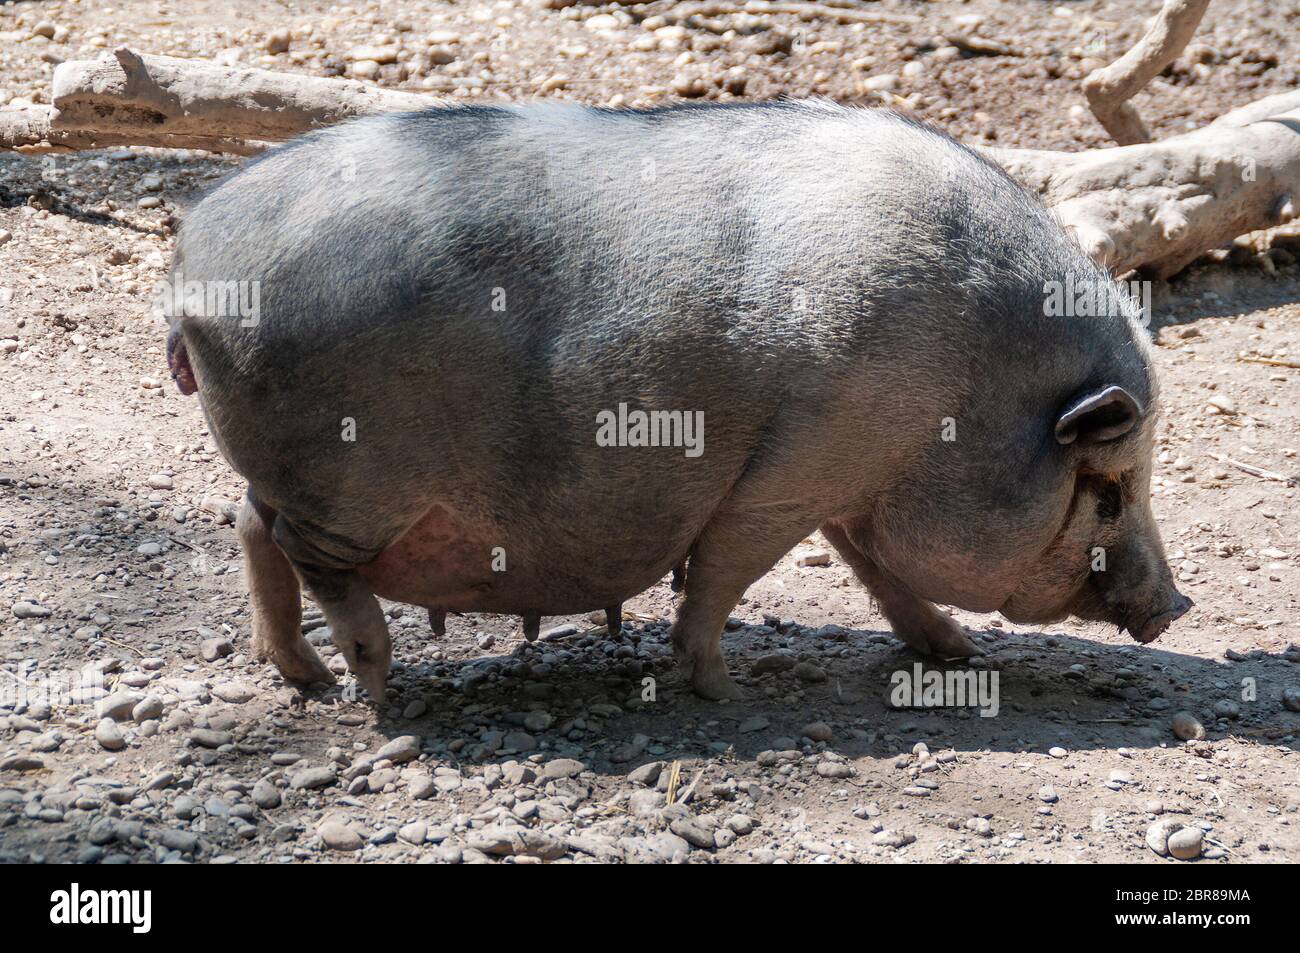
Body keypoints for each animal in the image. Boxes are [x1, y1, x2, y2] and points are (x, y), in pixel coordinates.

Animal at [166, 101, 1190, 701]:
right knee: (304, 551)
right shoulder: (792, 475)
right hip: (350, 486)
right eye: (1107, 488)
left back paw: (300, 676)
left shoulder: (843, 476)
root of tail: (193, 261)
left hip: (299, 476)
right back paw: (371, 685)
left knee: (248, 522)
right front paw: (722, 693)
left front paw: (962, 657)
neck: (965, 398)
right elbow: (725, 575)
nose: (1176, 605)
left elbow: (880, 571)